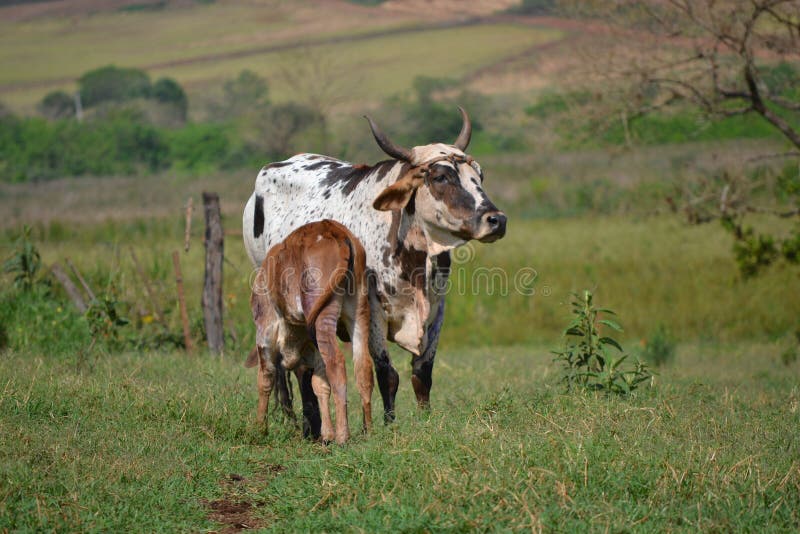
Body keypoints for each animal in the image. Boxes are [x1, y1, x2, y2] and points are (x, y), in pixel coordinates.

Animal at [245, 219, 373, 444]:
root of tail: (333, 229)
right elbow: (319, 383)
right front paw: (326, 433)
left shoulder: (265, 330)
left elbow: (265, 378)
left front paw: (260, 429)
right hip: (358, 311)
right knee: (363, 366)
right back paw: (368, 431)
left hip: (322, 313)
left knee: (337, 363)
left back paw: (343, 435)